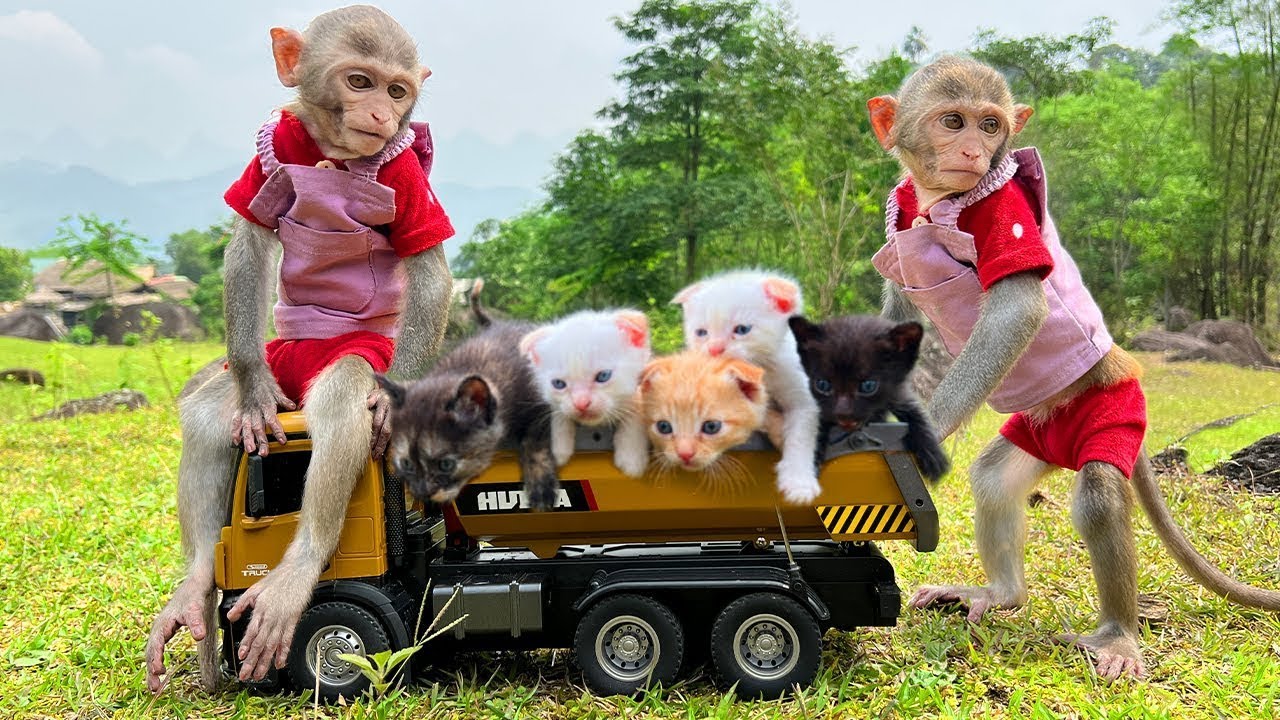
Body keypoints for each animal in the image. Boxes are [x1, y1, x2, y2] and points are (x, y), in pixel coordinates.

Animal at [144, 6, 455, 693]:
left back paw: (299, 567)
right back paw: (197, 583)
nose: (382, 115)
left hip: (358, 354)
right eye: (360, 81)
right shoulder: (275, 151)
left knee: (339, 396)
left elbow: (428, 272)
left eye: (398, 90)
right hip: (282, 358)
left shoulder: (403, 175)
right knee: (207, 409)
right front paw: (252, 387)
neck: (336, 160)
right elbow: (251, 235)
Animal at [867, 55, 1280, 680]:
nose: (973, 151)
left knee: (1099, 494)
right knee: (994, 477)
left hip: (1116, 415)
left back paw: (1117, 637)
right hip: (1035, 433)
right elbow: (897, 317)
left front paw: (917, 439)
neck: (940, 200)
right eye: (953, 120)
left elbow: (1018, 308)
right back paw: (1001, 593)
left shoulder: (1002, 210)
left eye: (990, 125)